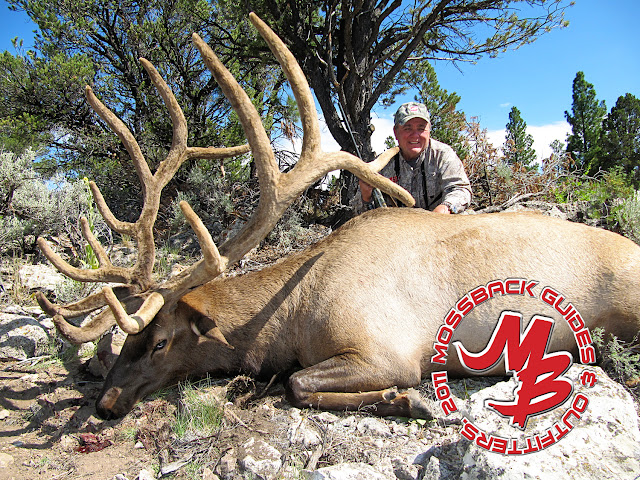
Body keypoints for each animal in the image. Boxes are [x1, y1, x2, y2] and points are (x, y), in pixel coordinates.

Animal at [36, 14, 640, 420]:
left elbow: (297, 384)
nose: (107, 402)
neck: (290, 318)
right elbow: (297, 383)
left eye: (160, 341)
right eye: (124, 344)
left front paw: (410, 399)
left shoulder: (389, 347)